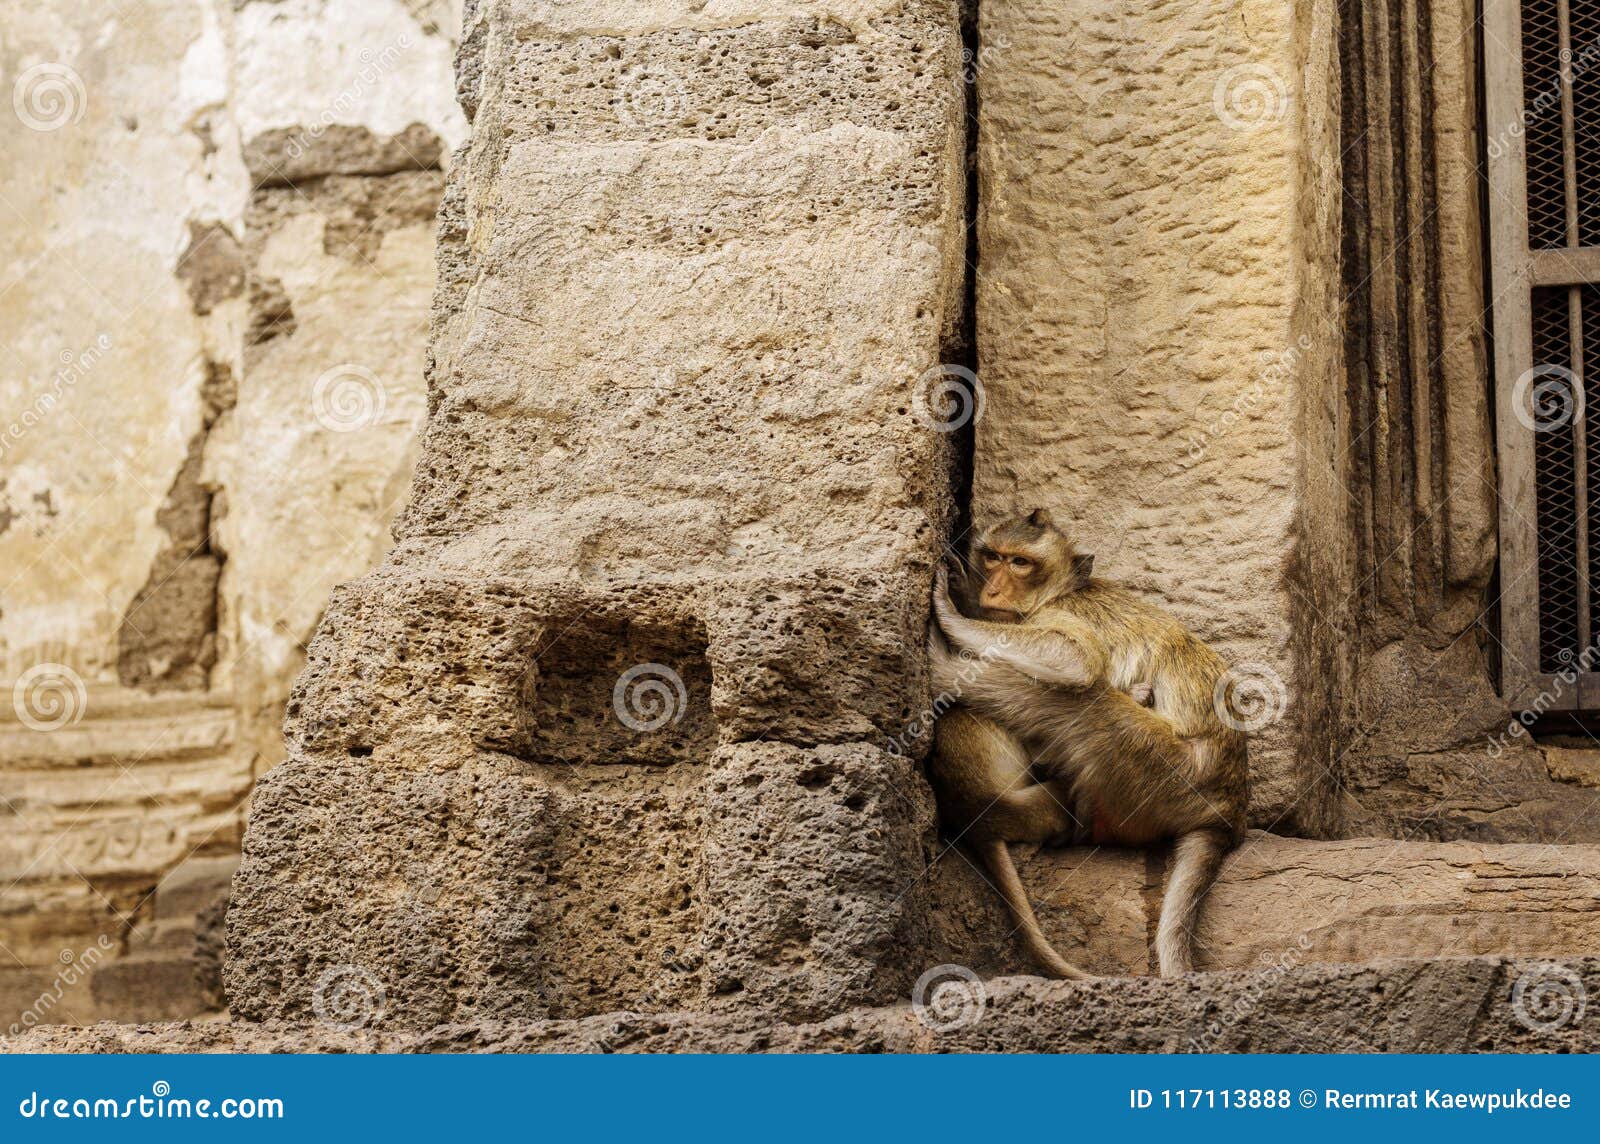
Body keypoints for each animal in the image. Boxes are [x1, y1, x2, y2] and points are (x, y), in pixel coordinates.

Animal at [927, 508, 1249, 978]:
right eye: (992, 556)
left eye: (1019, 563)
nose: (993, 589)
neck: (1057, 592)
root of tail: (1231, 809)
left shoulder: (1060, 613)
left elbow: (1075, 659)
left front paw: (950, 619)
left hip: (1163, 770)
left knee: (1081, 699)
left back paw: (942, 667)